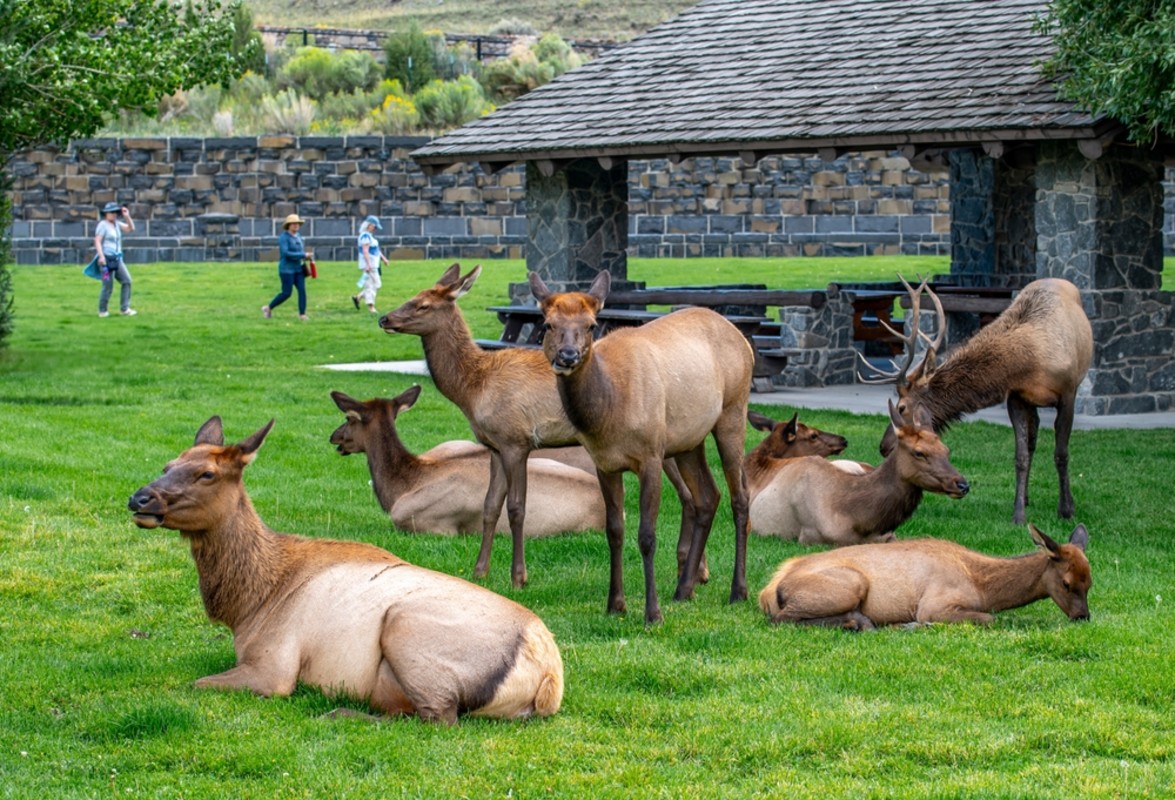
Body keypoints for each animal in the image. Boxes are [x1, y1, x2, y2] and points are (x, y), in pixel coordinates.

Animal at [127, 416, 563, 725]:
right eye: (168, 464)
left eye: (207, 474)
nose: (139, 498)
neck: (248, 604)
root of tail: (549, 676)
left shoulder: (273, 668)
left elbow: (193, 683)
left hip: (403, 626)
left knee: (439, 716)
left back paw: (339, 711)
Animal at [378, 263, 706, 590]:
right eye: (413, 296)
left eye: (423, 304)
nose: (385, 318)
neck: (473, 389)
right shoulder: (494, 445)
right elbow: (490, 506)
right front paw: (479, 571)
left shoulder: (516, 439)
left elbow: (516, 508)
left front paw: (518, 577)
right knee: (691, 496)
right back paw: (693, 571)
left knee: (690, 496)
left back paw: (692, 573)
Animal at [529, 270, 755, 625]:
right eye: (548, 323)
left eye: (591, 324)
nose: (567, 356)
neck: (608, 413)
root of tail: (744, 340)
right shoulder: (604, 464)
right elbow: (614, 530)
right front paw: (615, 605)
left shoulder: (650, 455)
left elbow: (647, 536)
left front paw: (652, 613)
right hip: (689, 439)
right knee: (708, 496)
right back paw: (683, 588)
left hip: (733, 410)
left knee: (740, 496)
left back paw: (737, 591)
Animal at [758, 523, 1091, 629]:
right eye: (1066, 583)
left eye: (1089, 583)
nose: (1083, 616)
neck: (983, 588)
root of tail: (768, 591)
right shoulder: (934, 604)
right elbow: (988, 618)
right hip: (852, 584)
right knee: (782, 619)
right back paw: (859, 622)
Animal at [862, 276, 1093, 526]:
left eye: (902, 407)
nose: (883, 446)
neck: (1032, 363)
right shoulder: (1016, 396)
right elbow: (1020, 456)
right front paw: (1019, 513)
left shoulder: (1068, 394)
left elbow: (1062, 454)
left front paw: (1067, 510)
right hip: (1032, 405)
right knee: (1032, 441)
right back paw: (1027, 497)